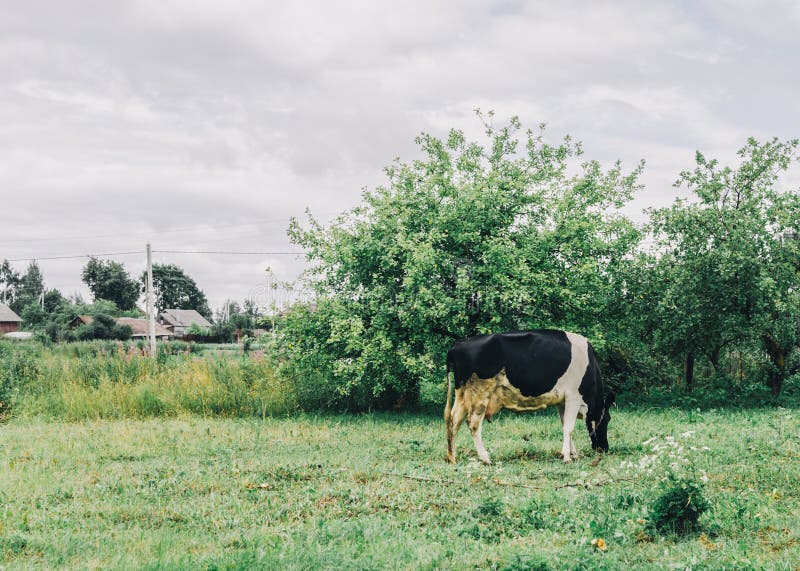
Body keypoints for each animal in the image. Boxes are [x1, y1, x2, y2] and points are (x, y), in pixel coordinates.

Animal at [444, 330, 615, 464]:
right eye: (607, 419)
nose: (604, 448)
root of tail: (456, 346)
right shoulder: (573, 396)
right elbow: (569, 428)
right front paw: (567, 457)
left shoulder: (562, 401)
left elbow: (564, 425)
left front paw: (573, 453)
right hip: (480, 392)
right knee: (473, 423)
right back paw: (485, 458)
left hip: (462, 393)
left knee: (454, 420)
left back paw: (453, 457)